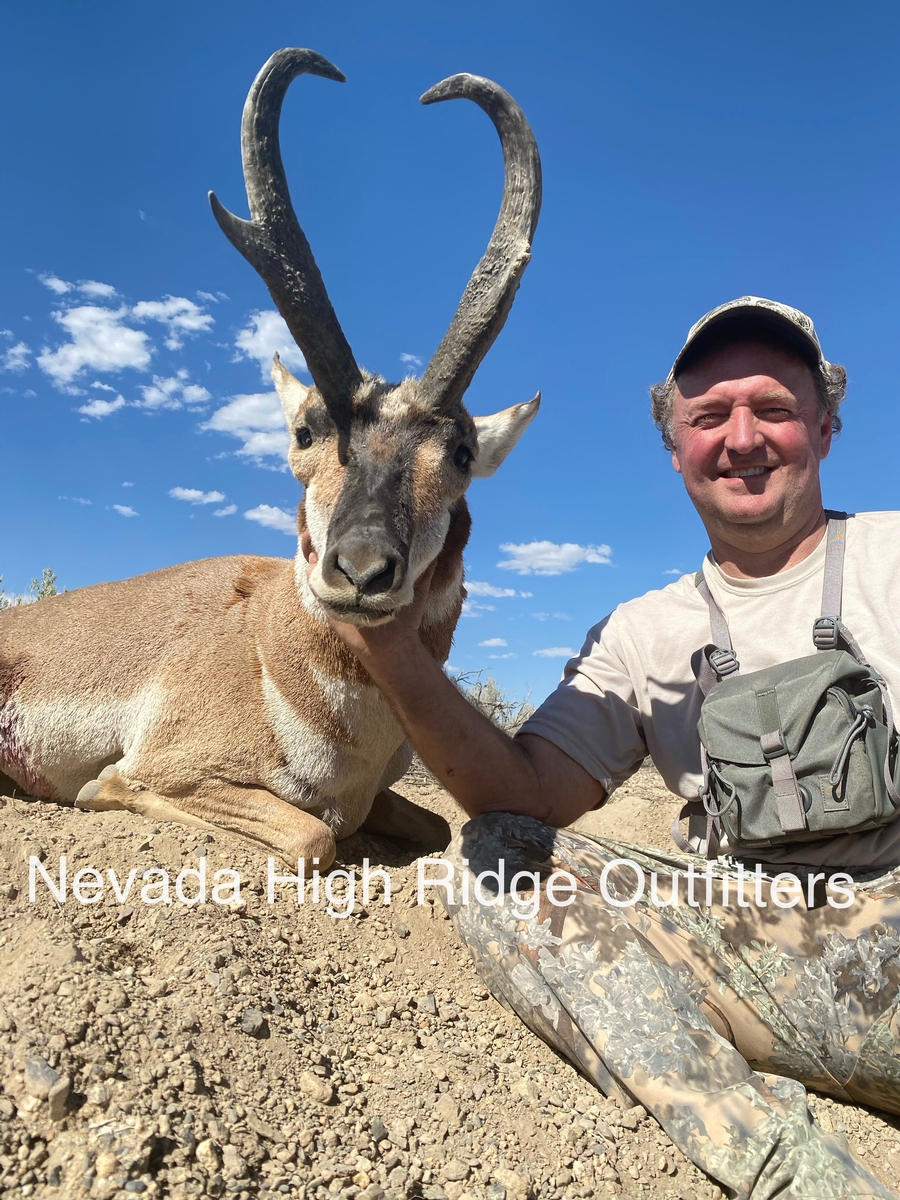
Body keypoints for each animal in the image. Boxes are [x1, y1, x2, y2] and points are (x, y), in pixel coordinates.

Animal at [0, 48, 541, 868]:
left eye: (461, 450)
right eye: (307, 430)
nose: (360, 571)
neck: (272, 652)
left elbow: (438, 826)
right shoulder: (175, 768)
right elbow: (314, 834)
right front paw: (100, 794)